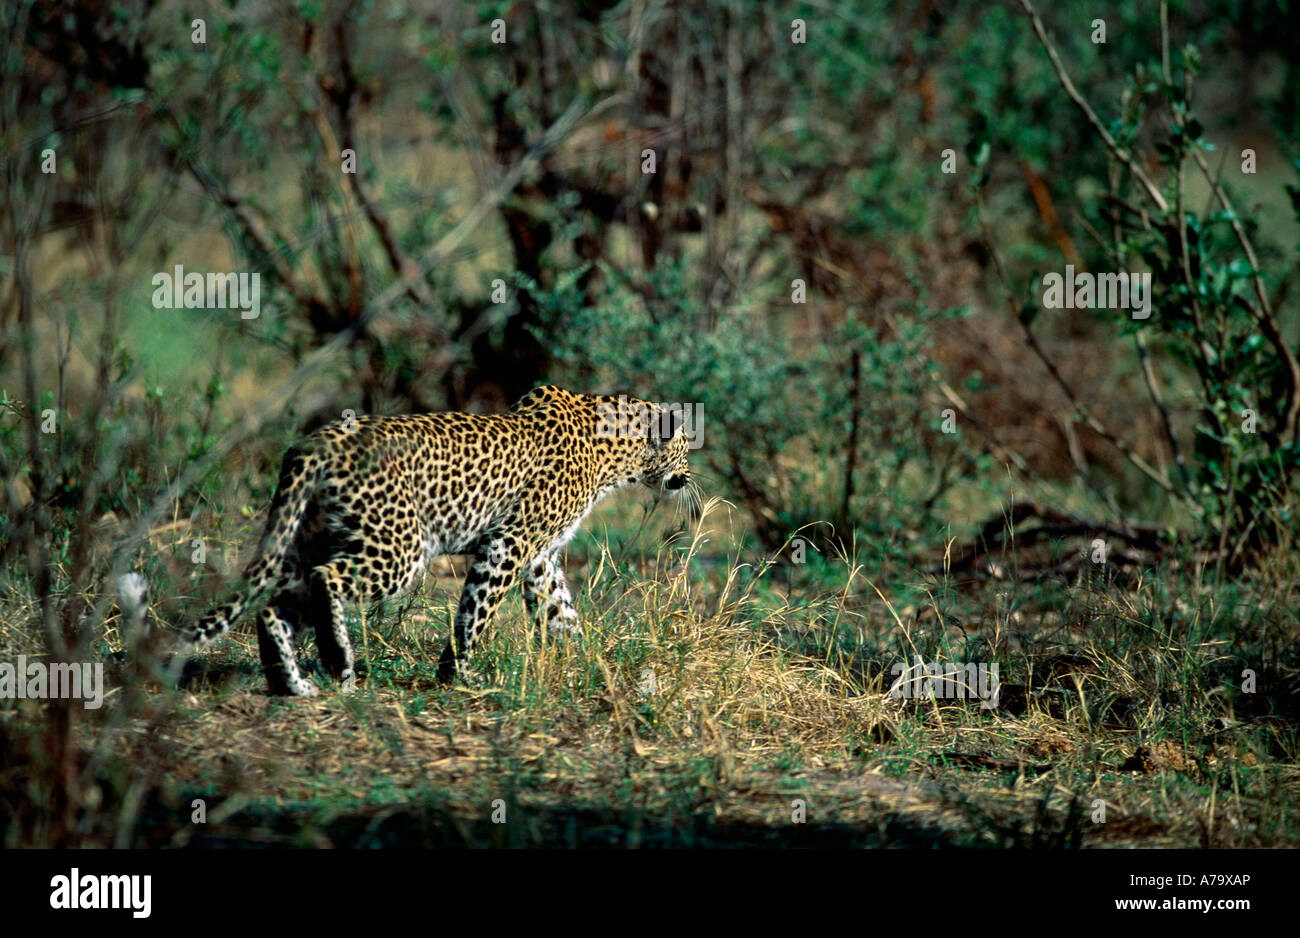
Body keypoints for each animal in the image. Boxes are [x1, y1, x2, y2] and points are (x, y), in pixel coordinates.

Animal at [180, 386, 698, 696]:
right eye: (686, 446)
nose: (689, 477)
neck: (614, 456)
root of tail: (319, 441)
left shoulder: (540, 556)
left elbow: (560, 612)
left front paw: (587, 664)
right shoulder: (509, 543)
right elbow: (475, 612)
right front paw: (459, 676)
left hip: (314, 538)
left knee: (275, 602)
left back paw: (290, 684)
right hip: (399, 547)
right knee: (325, 580)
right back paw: (336, 659)